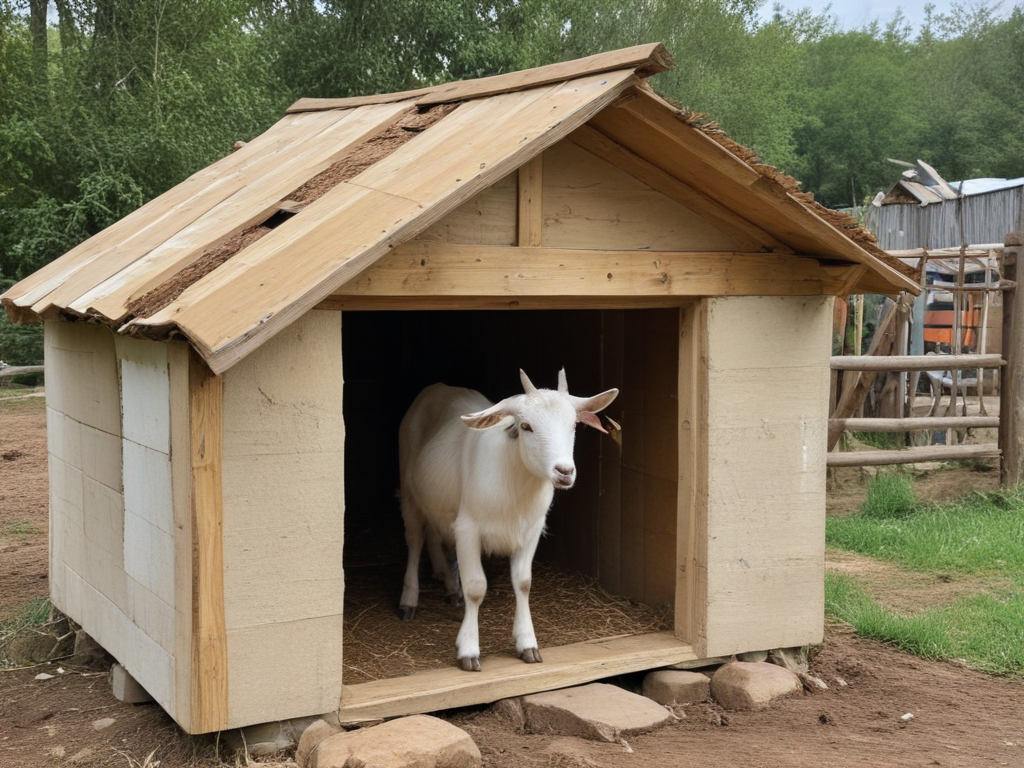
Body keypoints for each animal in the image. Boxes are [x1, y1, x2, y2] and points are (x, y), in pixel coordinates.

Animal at [397, 368, 618, 671]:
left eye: (574, 425)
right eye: (526, 426)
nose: (564, 471)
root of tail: (439, 387)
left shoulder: (531, 530)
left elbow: (523, 582)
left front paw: (527, 644)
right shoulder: (468, 528)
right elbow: (476, 587)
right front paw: (468, 650)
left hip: (438, 500)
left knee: (434, 534)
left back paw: (450, 586)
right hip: (409, 491)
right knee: (414, 540)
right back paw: (409, 600)